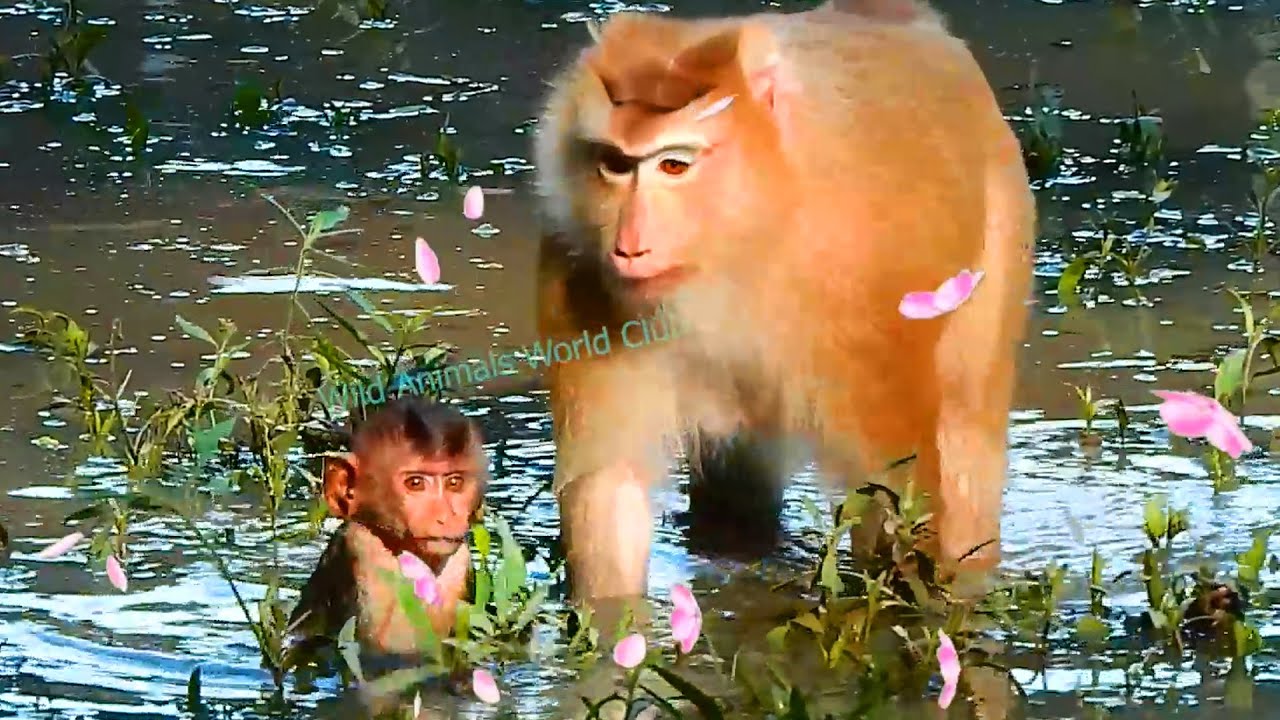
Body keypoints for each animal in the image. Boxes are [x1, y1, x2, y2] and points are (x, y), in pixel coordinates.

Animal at [530, 0, 1035, 603]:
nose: (629, 246)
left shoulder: (858, 301)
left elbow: (895, 496)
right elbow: (611, 490)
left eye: (674, 164)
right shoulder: (578, 274)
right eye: (614, 163)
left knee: (967, 435)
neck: (748, 236)